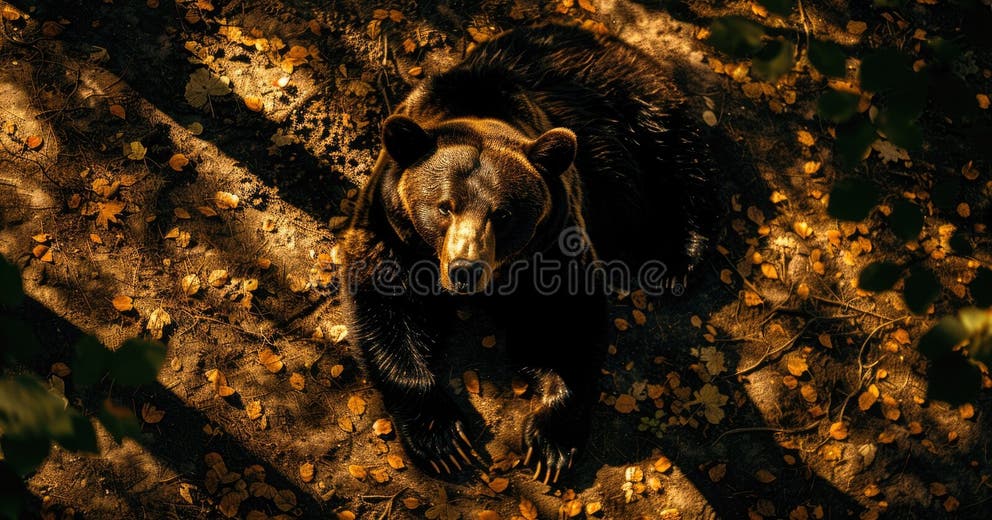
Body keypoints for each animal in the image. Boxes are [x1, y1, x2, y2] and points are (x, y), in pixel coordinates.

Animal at [341, 22, 717, 483]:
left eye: (502, 213)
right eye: (444, 206)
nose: (465, 269)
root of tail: (606, 37)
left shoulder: (555, 240)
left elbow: (565, 321)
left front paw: (550, 445)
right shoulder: (392, 232)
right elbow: (386, 309)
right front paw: (445, 442)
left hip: (638, 109)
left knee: (683, 167)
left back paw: (678, 262)